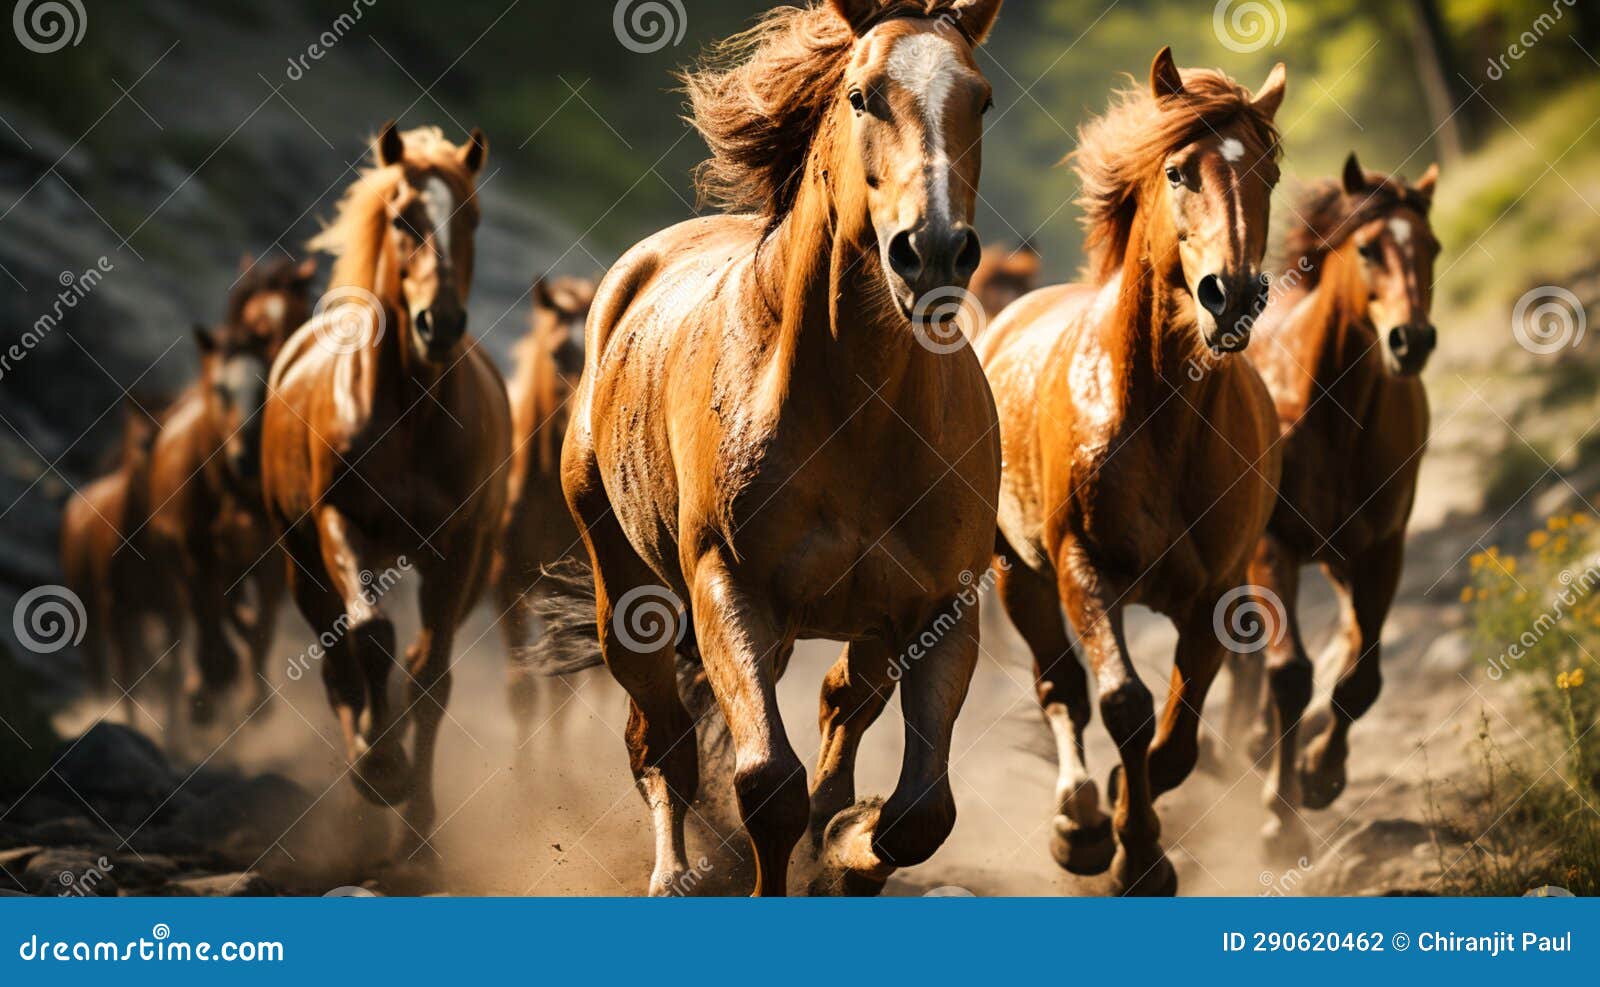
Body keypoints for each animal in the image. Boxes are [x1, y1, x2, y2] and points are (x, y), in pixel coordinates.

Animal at [143, 255, 315, 728]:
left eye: (265, 389)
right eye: (221, 389)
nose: (247, 459)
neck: (234, 493)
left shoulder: (272, 560)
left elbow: (260, 629)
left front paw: (254, 699)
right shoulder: (195, 553)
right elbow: (208, 616)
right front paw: (206, 687)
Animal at [261, 123, 506, 858]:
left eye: (473, 218)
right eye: (404, 220)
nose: (439, 324)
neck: (412, 411)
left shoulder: (458, 549)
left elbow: (430, 678)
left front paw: (418, 831)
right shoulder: (340, 525)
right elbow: (368, 637)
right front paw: (380, 767)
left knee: (419, 660)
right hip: (301, 560)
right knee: (339, 660)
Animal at [547, 0, 1005, 896]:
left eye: (982, 98)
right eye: (862, 94)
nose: (932, 251)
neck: (858, 412)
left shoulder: (943, 605)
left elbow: (919, 811)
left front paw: (848, 843)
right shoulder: (731, 586)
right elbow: (766, 782)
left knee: (840, 698)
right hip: (626, 584)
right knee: (661, 741)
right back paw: (674, 872)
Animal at [976, 48, 1286, 894]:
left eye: (1271, 172)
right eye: (1179, 171)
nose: (1232, 296)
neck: (1160, 415)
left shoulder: (1217, 590)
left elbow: (1176, 734)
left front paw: (1135, 806)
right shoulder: (1082, 569)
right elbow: (1123, 703)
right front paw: (1134, 855)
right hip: (1017, 571)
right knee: (1060, 689)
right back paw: (1078, 822)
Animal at [1223, 154, 1439, 855]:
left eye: (1431, 247)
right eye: (1368, 249)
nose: (1410, 341)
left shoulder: (1380, 550)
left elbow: (1360, 679)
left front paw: (1320, 775)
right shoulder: (1273, 548)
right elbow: (1289, 674)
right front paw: (1280, 819)